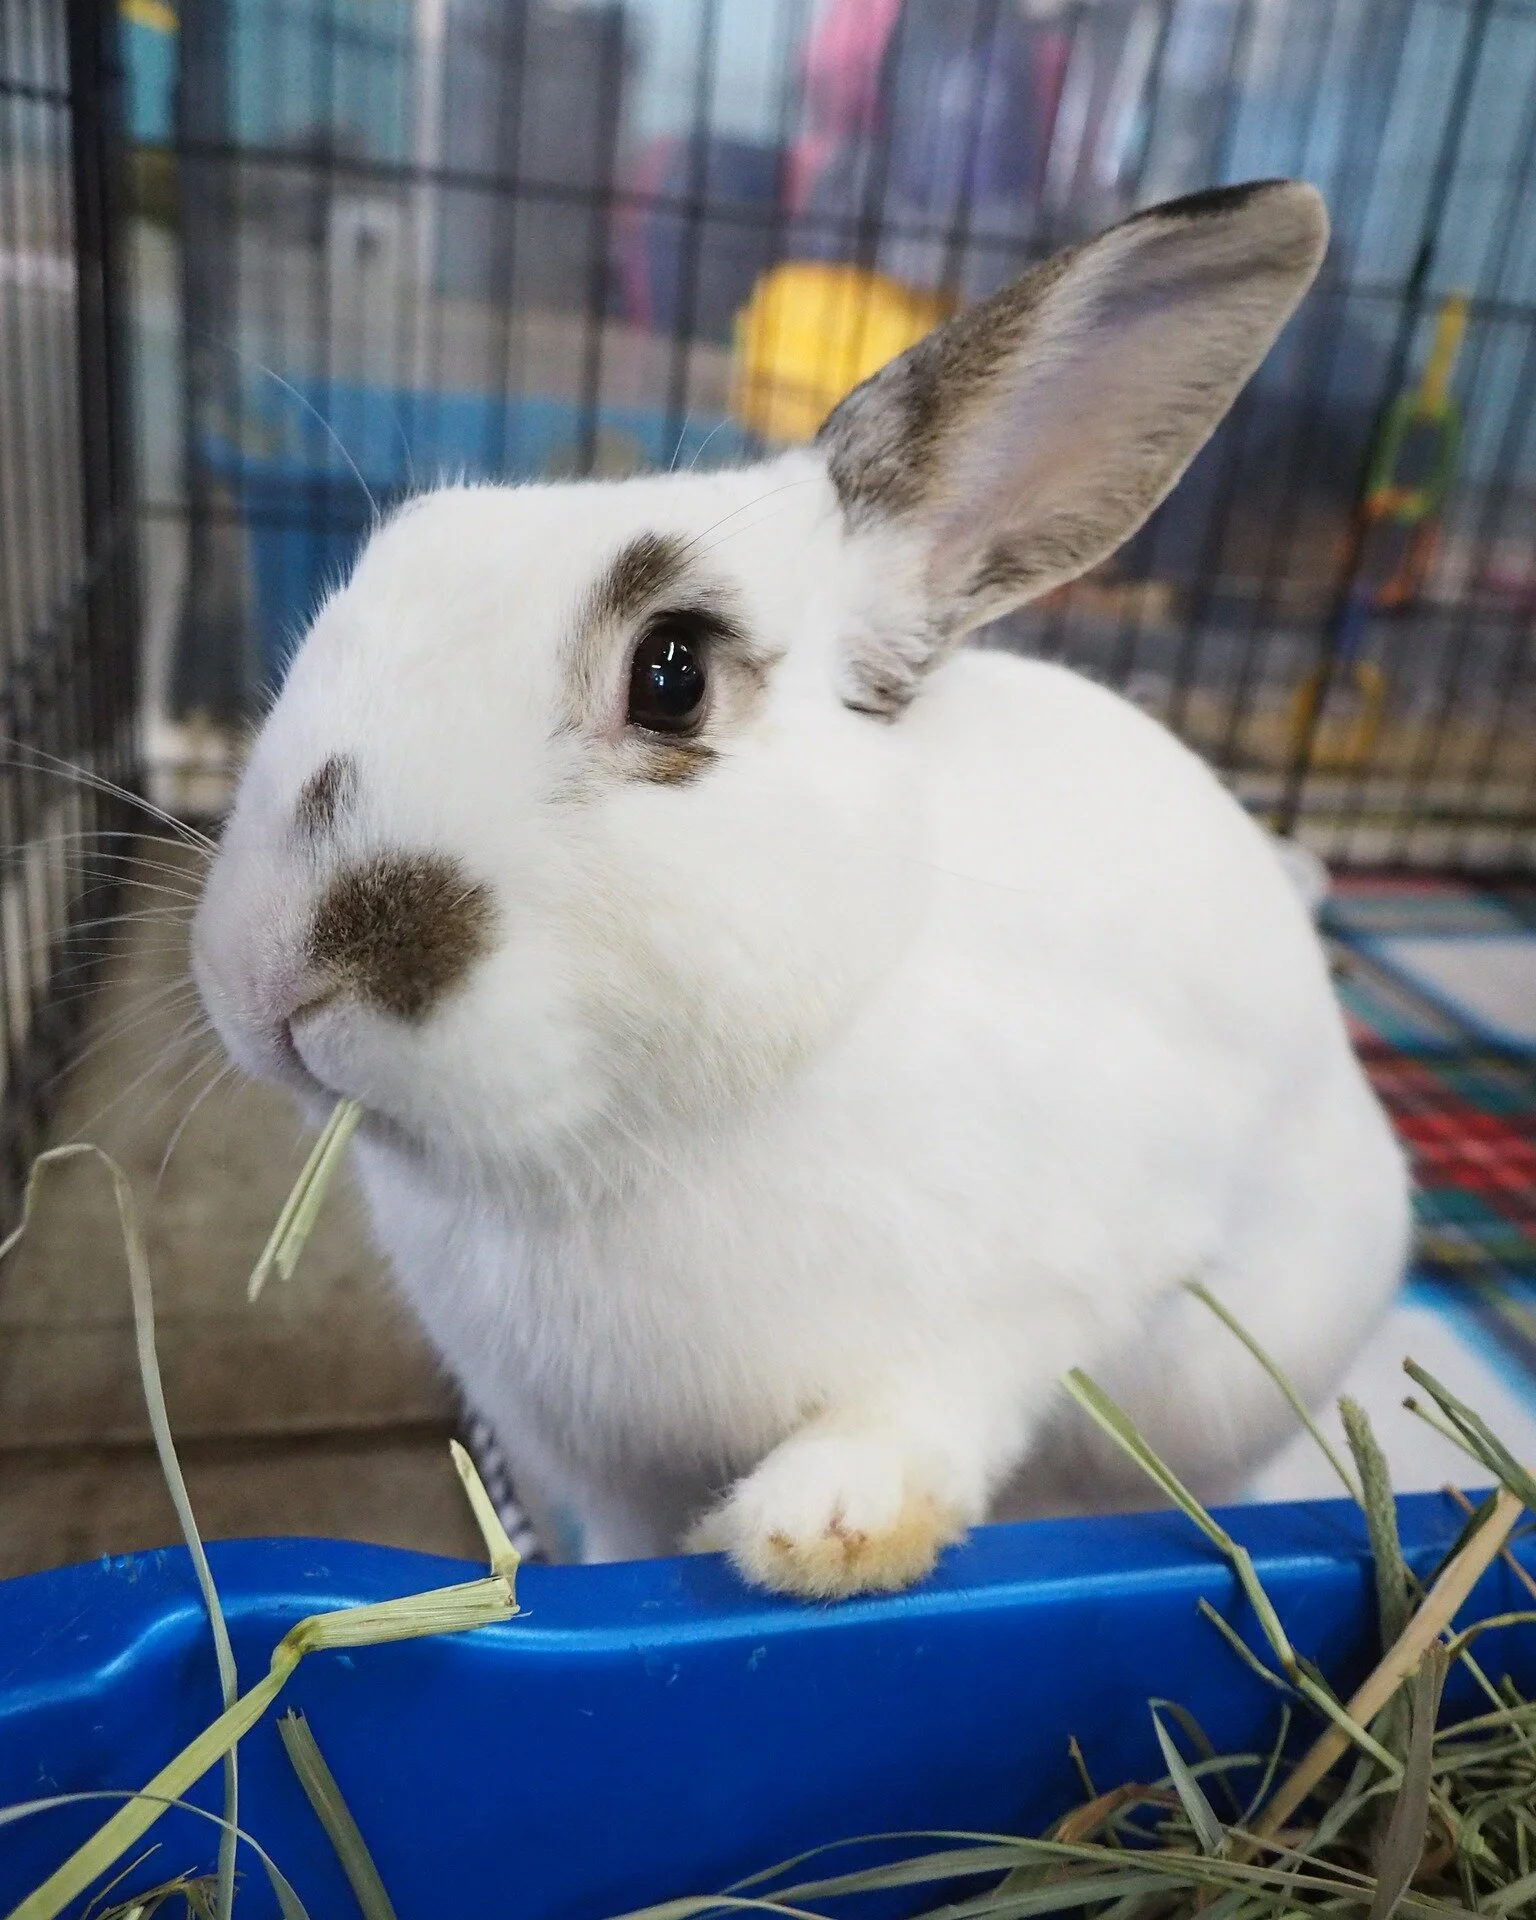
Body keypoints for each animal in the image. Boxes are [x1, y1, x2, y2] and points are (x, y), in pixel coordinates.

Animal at [192, 180, 1411, 1599]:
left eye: (672, 673)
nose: (268, 970)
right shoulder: (610, 1476)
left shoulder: (1041, 1292)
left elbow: (934, 1409)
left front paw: (817, 1531)